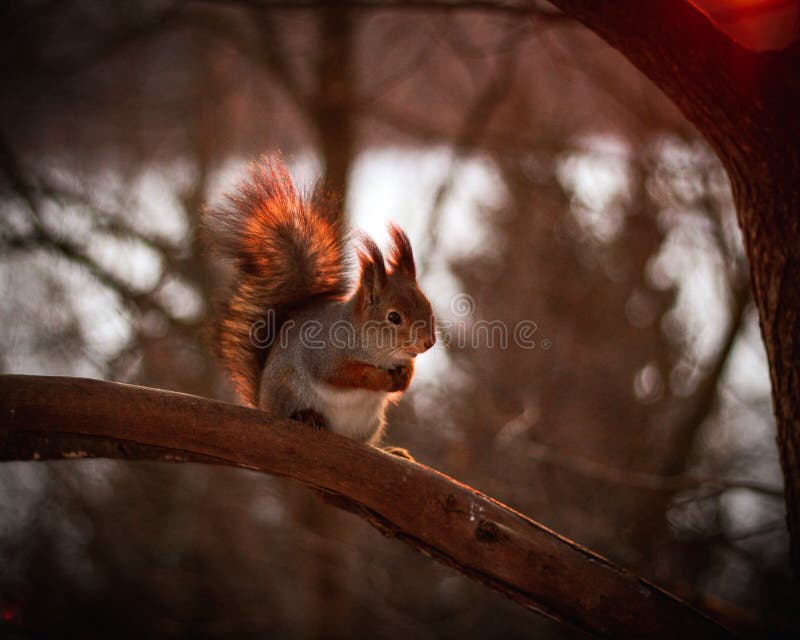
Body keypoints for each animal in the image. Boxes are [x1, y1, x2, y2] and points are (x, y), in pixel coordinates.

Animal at [204, 157, 436, 456]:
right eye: (394, 317)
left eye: (427, 305)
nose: (428, 342)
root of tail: (263, 403)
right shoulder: (324, 355)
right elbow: (346, 375)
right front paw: (380, 380)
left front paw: (405, 377)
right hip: (288, 390)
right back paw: (306, 416)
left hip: (370, 425)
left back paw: (390, 452)